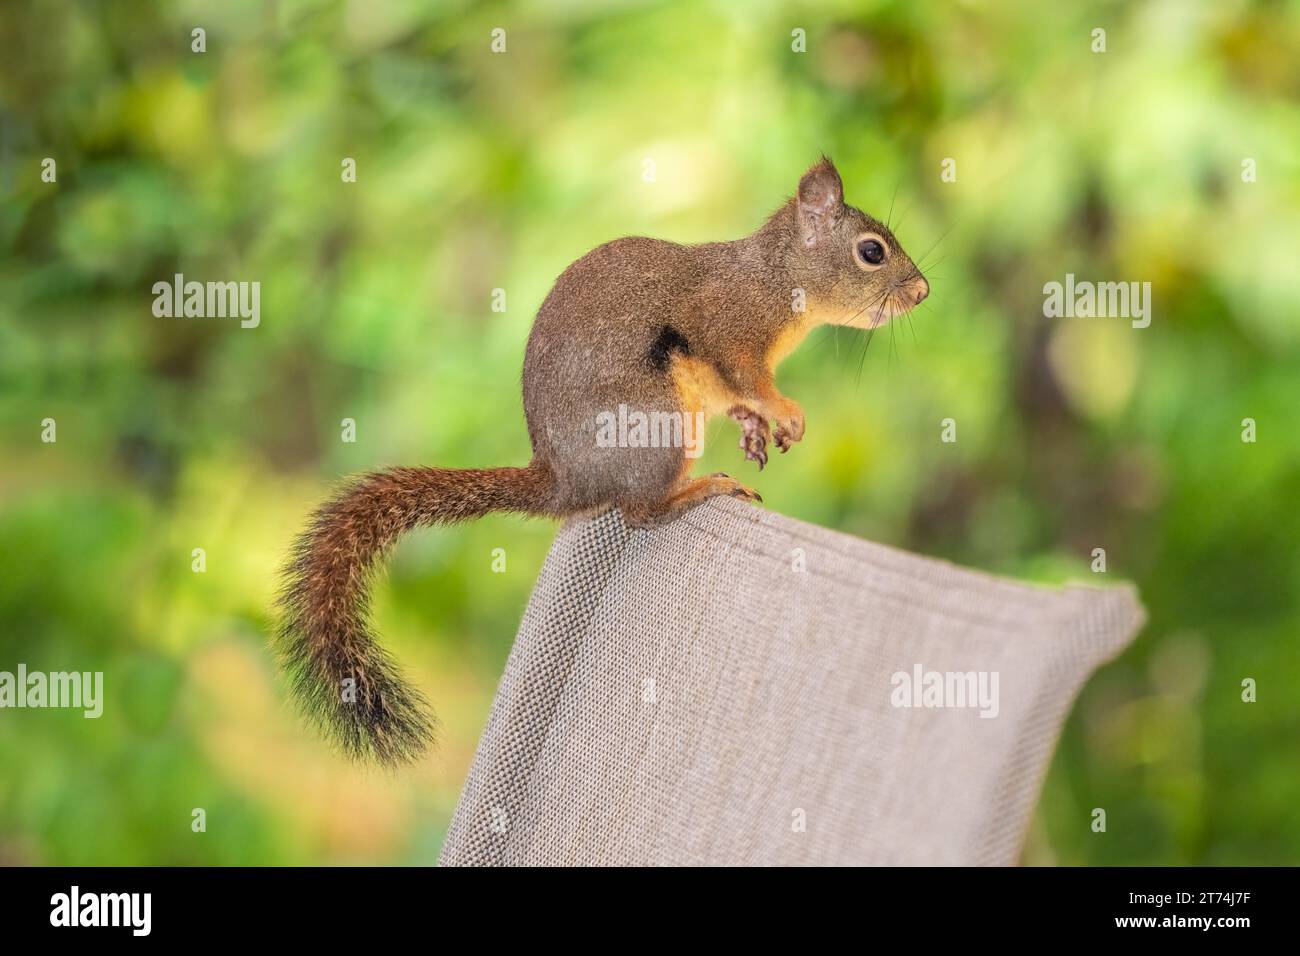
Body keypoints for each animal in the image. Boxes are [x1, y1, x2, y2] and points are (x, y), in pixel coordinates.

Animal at [275, 157, 930, 764]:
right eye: (872, 252)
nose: (922, 292)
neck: (778, 279)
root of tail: (564, 481)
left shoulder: (721, 377)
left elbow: (738, 399)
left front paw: (755, 429)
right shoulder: (728, 329)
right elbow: (749, 379)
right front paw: (786, 413)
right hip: (658, 420)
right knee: (640, 511)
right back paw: (701, 489)